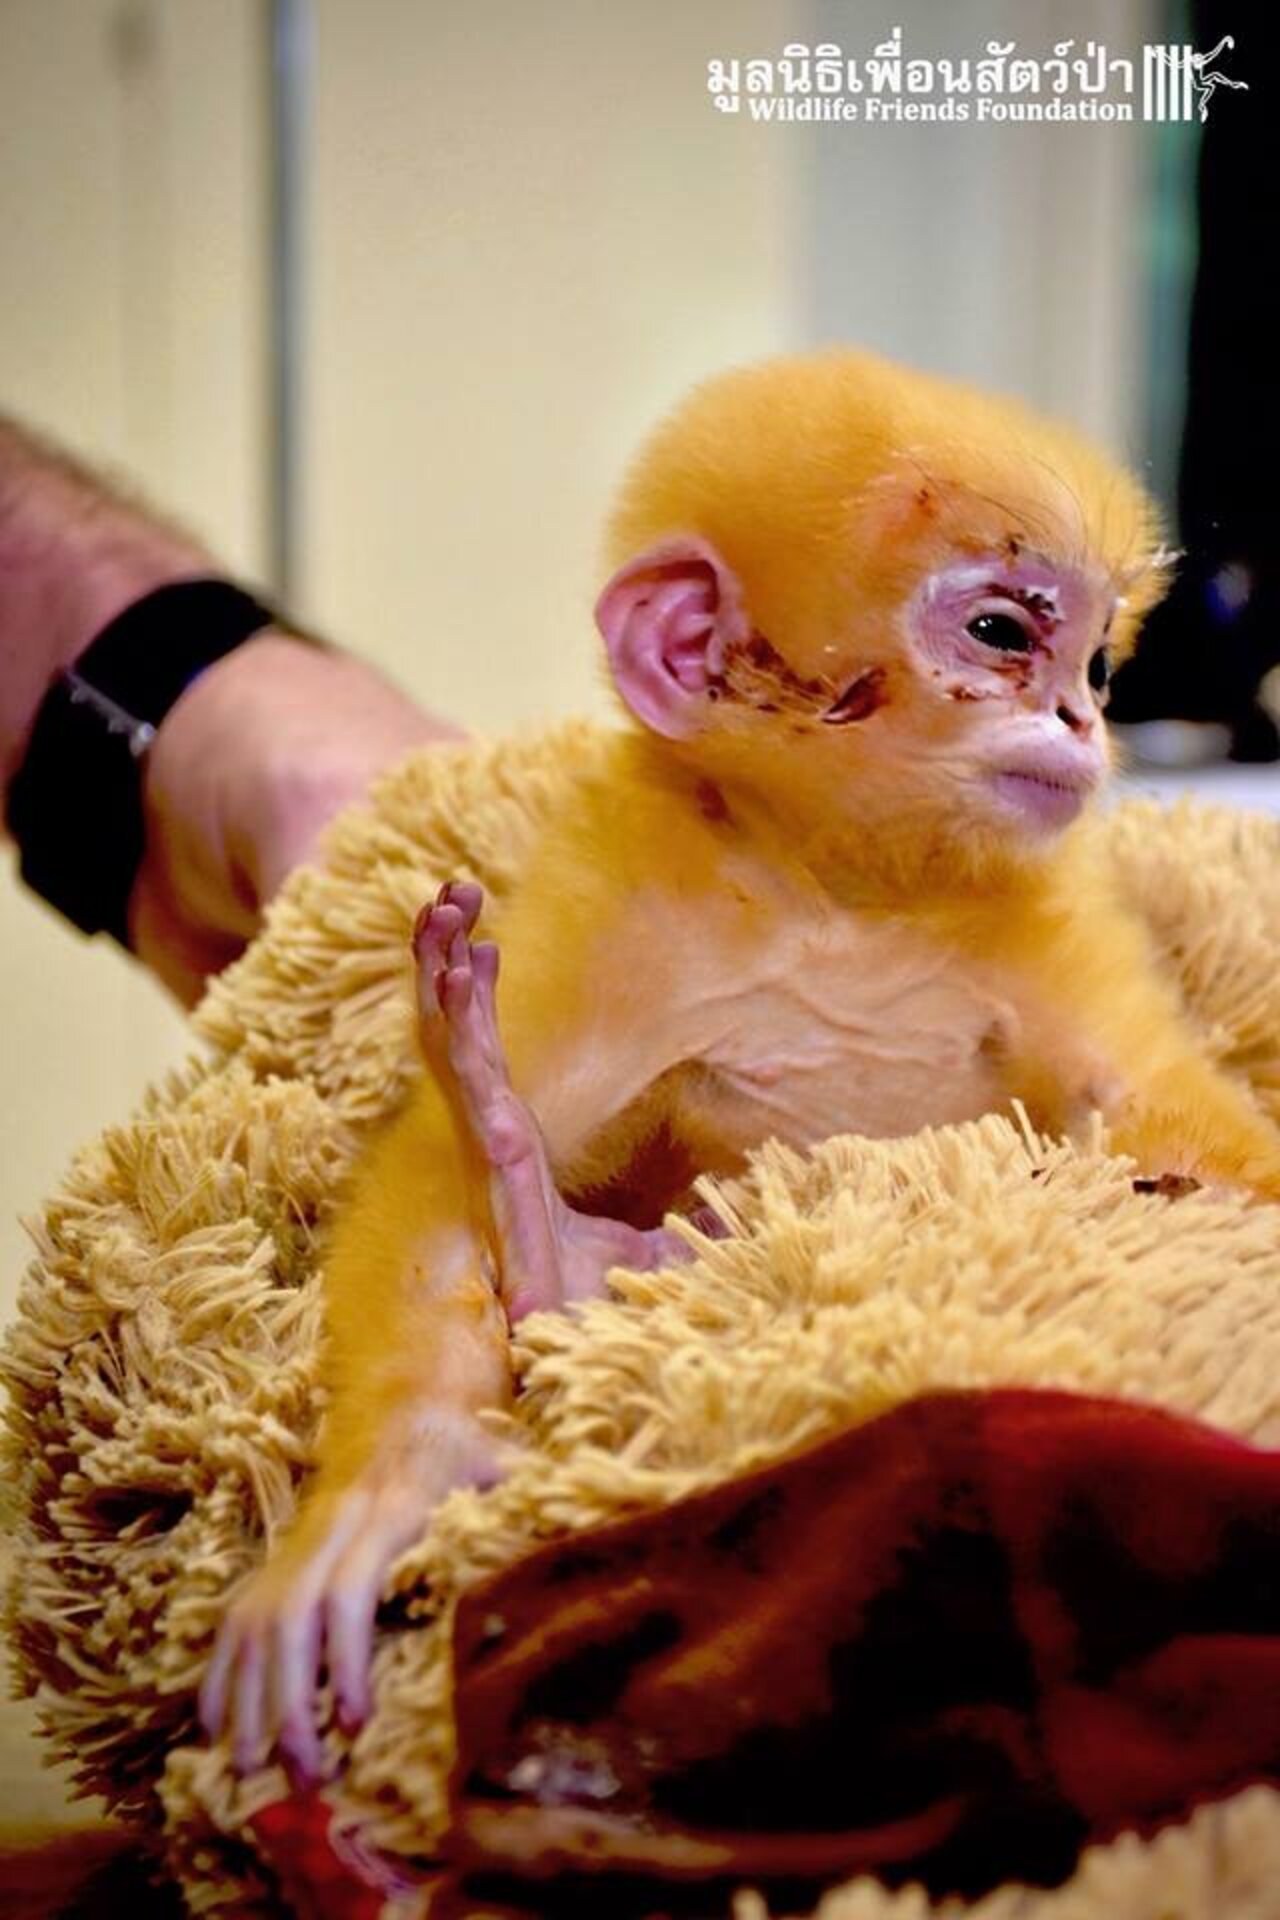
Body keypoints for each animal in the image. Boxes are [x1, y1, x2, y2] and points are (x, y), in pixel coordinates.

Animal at [200, 347, 1280, 1783]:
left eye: (1100, 661)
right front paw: (386, 1485)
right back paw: (535, 1216)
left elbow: (1171, 1129)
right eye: (1005, 633)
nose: (1082, 717)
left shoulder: (1050, 925)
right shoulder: (628, 910)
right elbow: (426, 1173)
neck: (838, 891)